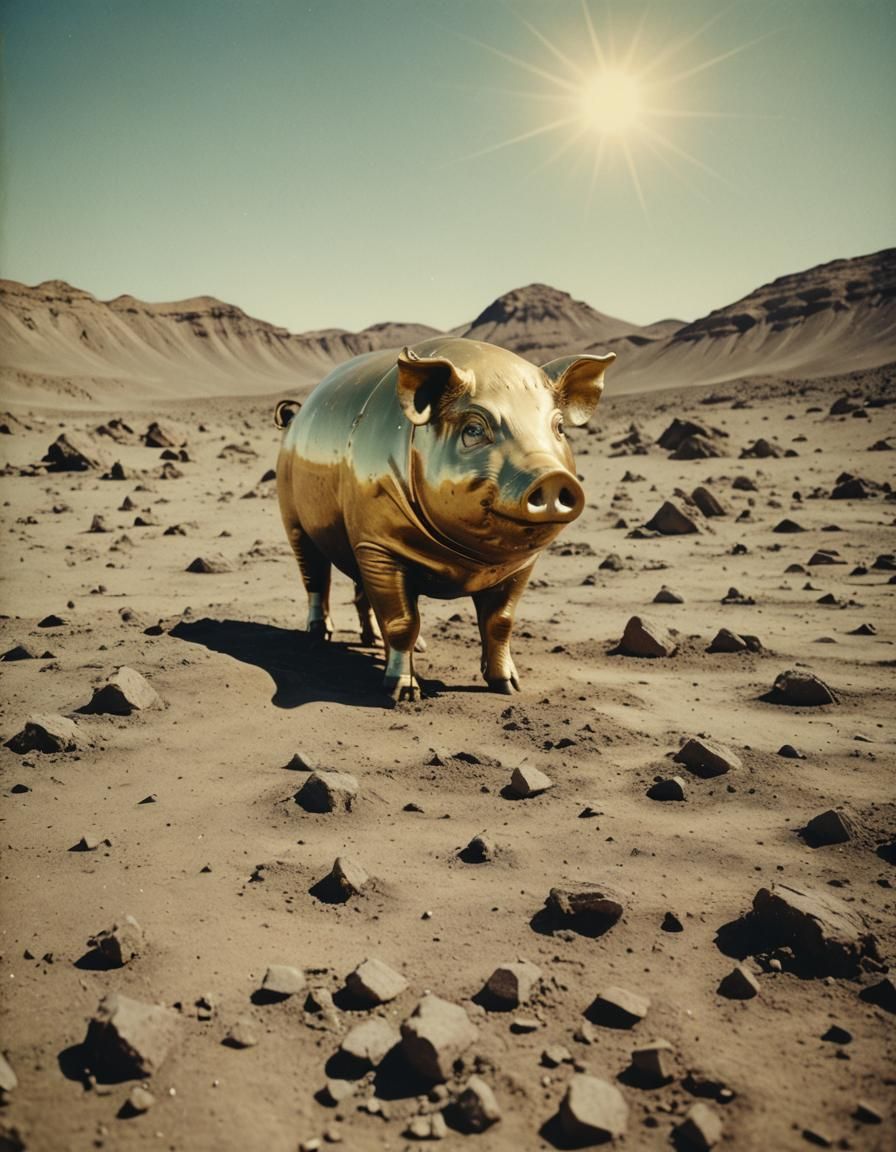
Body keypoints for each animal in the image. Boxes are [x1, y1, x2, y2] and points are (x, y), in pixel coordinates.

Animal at [275, 337, 614, 700]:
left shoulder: (521, 564)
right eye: (474, 429)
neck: (468, 564)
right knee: (315, 579)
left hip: (355, 542)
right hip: (295, 520)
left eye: (559, 428)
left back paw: (379, 641)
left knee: (360, 590)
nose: (552, 476)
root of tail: (296, 418)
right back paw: (319, 634)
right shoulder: (380, 545)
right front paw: (403, 694)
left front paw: (509, 687)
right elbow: (403, 620)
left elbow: (501, 621)